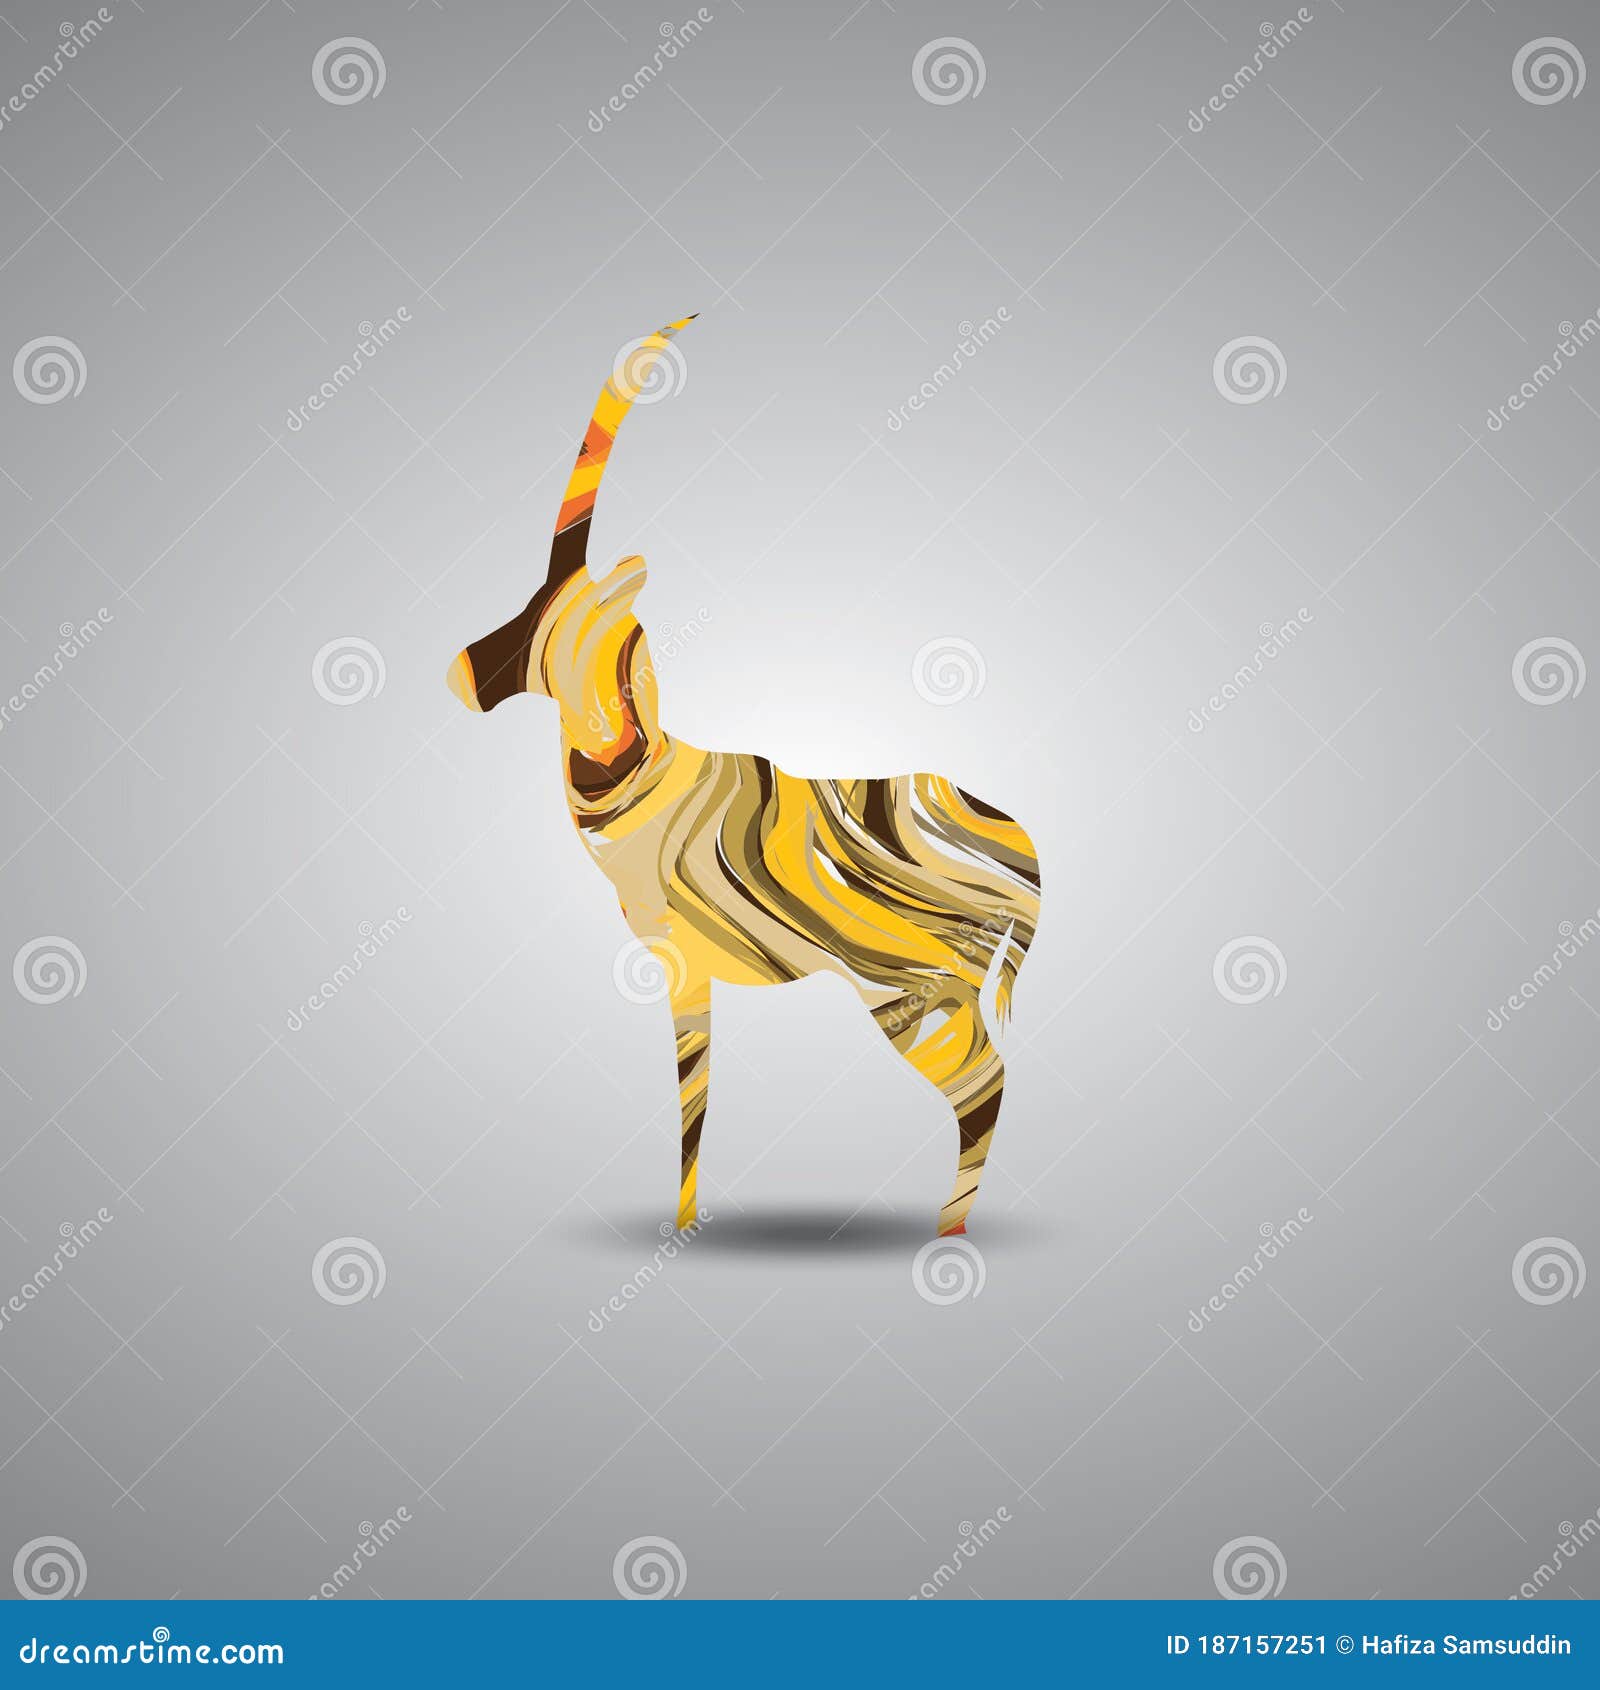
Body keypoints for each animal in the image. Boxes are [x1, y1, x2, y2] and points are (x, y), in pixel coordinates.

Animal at [446, 317, 1041, 1237]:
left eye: (546, 609)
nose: (460, 675)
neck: (649, 780)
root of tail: (1019, 844)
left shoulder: (681, 967)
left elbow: (692, 1095)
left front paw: (682, 1228)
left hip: (908, 1000)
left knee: (984, 1089)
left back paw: (948, 1239)